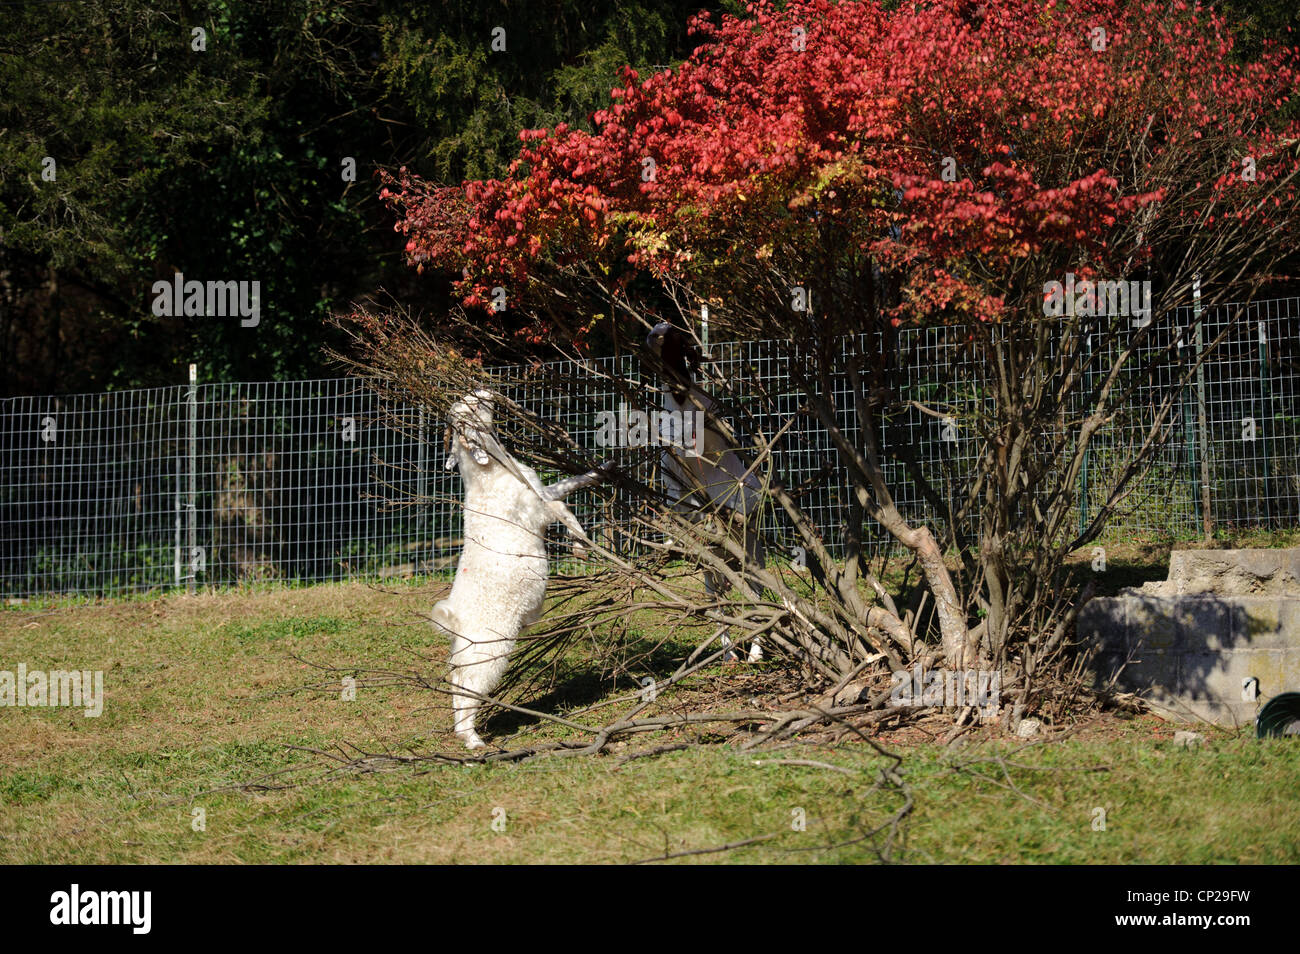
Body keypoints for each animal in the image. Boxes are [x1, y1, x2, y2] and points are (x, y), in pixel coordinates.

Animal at [432, 390, 606, 749]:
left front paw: (602, 471)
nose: (486, 392)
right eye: (473, 408)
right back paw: (472, 740)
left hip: (467, 653)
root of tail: (455, 619)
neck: (489, 473)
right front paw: (583, 546)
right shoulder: (538, 508)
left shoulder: (541, 490)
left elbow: (567, 486)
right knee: (469, 687)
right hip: (488, 651)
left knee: (457, 681)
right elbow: (565, 509)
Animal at [645, 322, 766, 662]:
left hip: (752, 553)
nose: (653, 336)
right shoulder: (671, 466)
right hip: (714, 568)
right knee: (718, 600)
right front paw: (670, 538)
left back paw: (754, 652)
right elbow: (675, 491)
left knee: (757, 595)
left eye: (674, 335)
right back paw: (728, 654)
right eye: (656, 334)